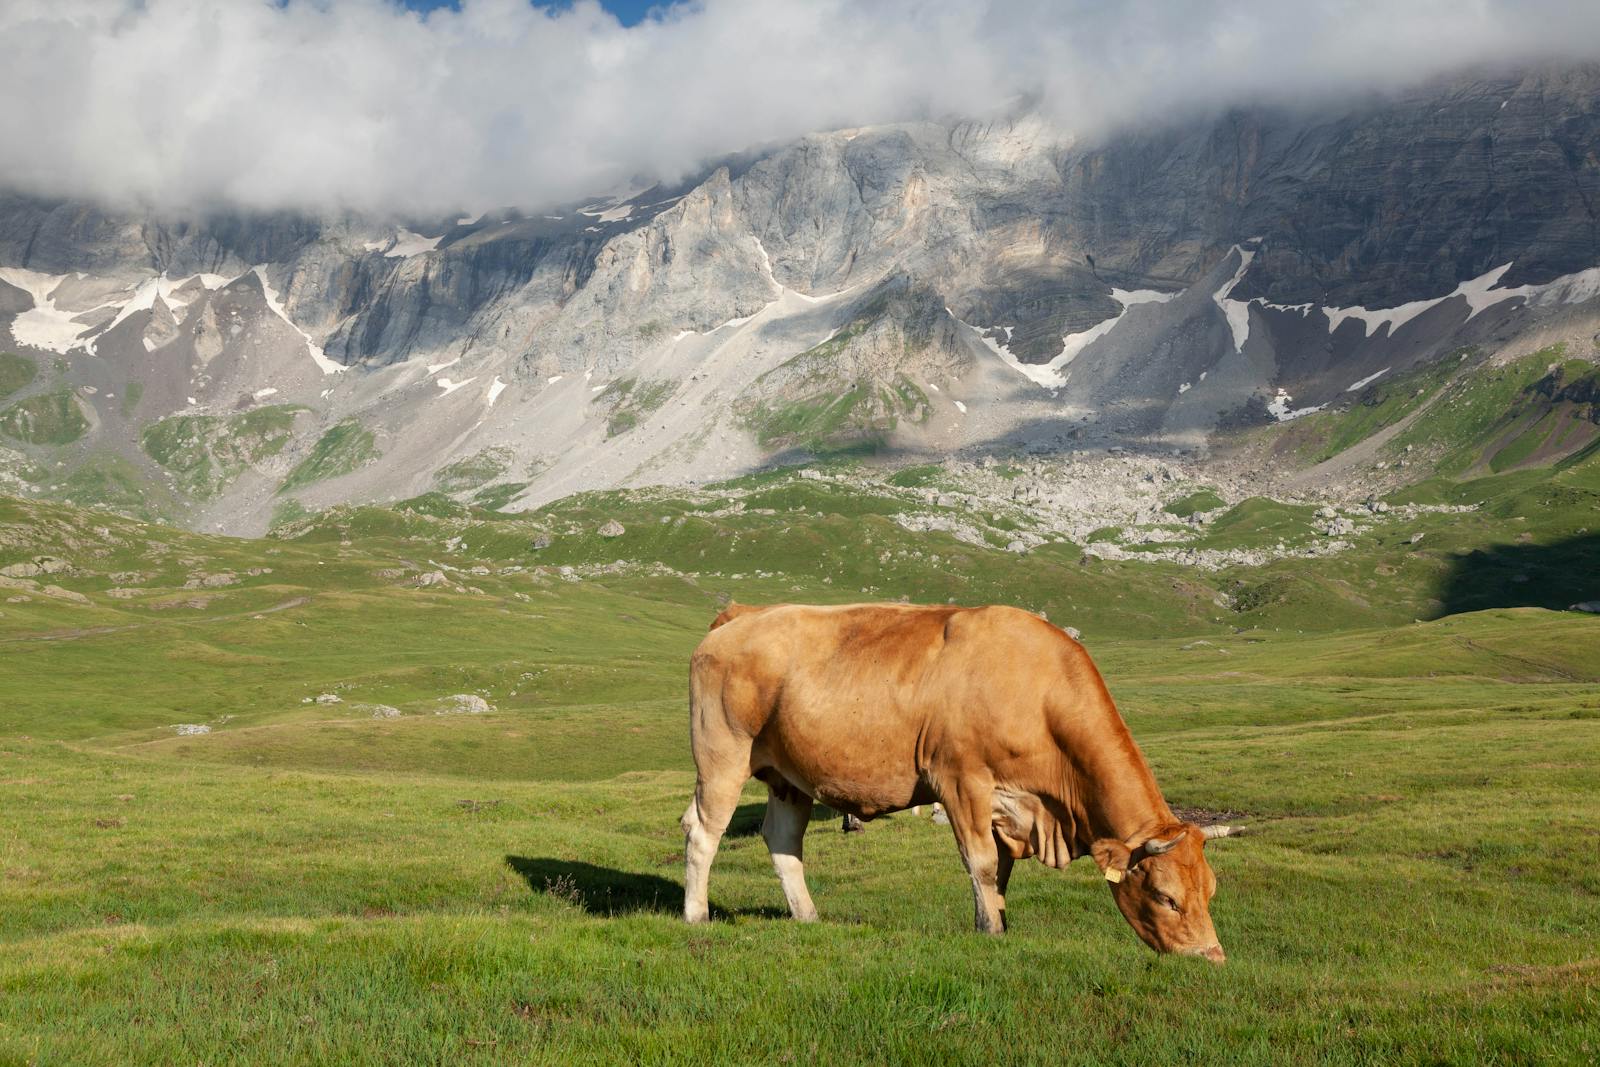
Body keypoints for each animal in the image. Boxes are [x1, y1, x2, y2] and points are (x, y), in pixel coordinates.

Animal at [681, 601, 1239, 961]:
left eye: (1211, 891)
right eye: (1165, 896)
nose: (1211, 957)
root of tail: (742, 615)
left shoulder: (1007, 807)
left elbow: (1002, 872)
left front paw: (1000, 921)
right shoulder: (961, 781)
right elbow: (983, 864)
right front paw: (990, 932)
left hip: (788, 777)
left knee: (782, 842)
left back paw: (808, 916)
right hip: (722, 757)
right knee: (702, 833)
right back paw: (696, 915)